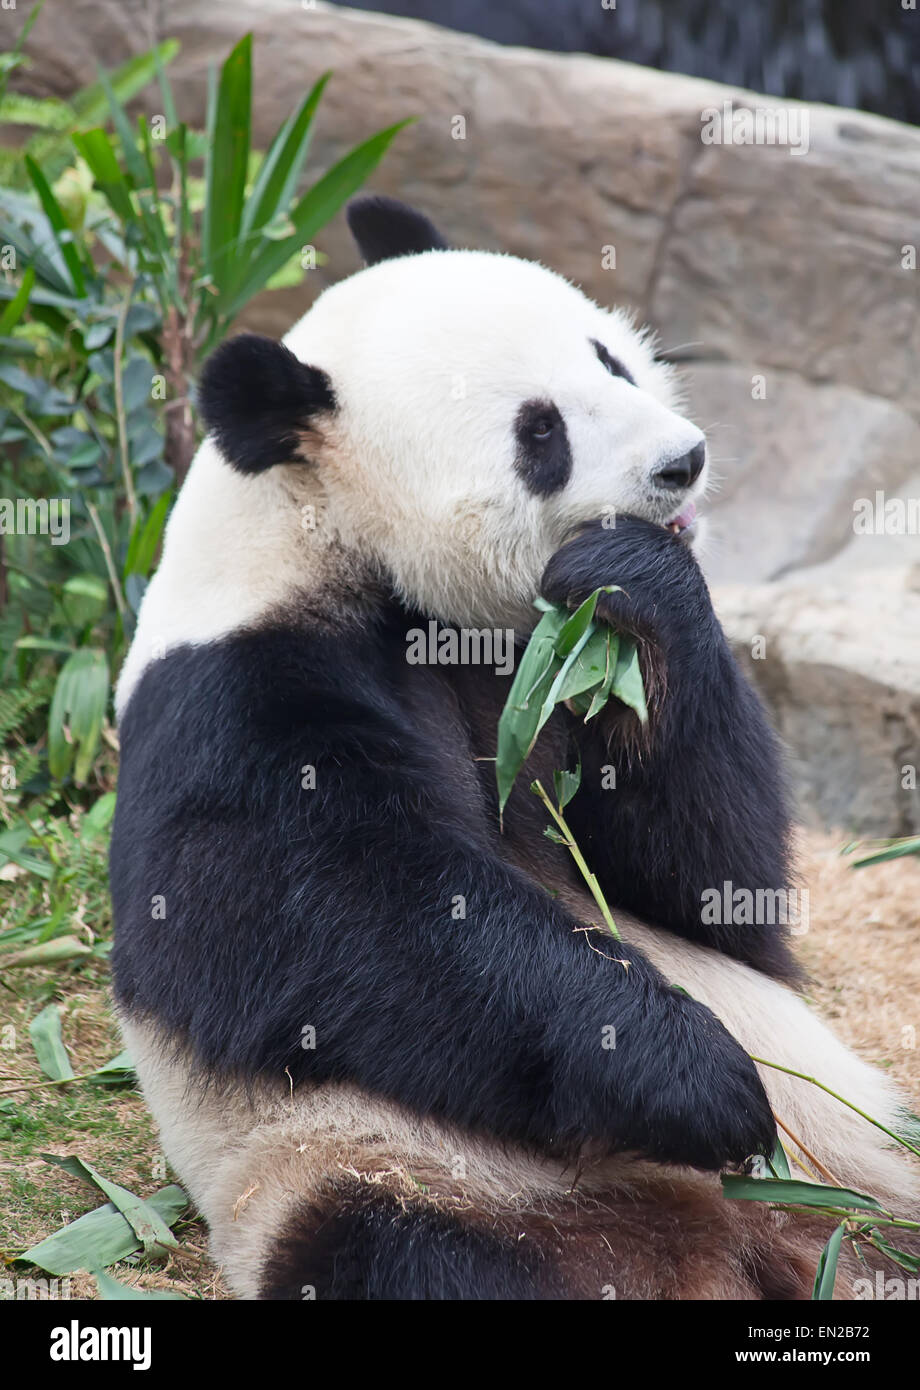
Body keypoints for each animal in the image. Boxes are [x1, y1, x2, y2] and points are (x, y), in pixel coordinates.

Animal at [110, 196, 918, 1300]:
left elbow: (720, 895)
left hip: (865, 1162)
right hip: (399, 1180)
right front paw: (698, 1080)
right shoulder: (231, 695)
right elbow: (337, 914)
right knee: (422, 1258)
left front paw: (638, 579)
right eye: (541, 433)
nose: (683, 460)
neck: (326, 533)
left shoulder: (544, 675)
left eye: (608, 359)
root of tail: (749, 1240)